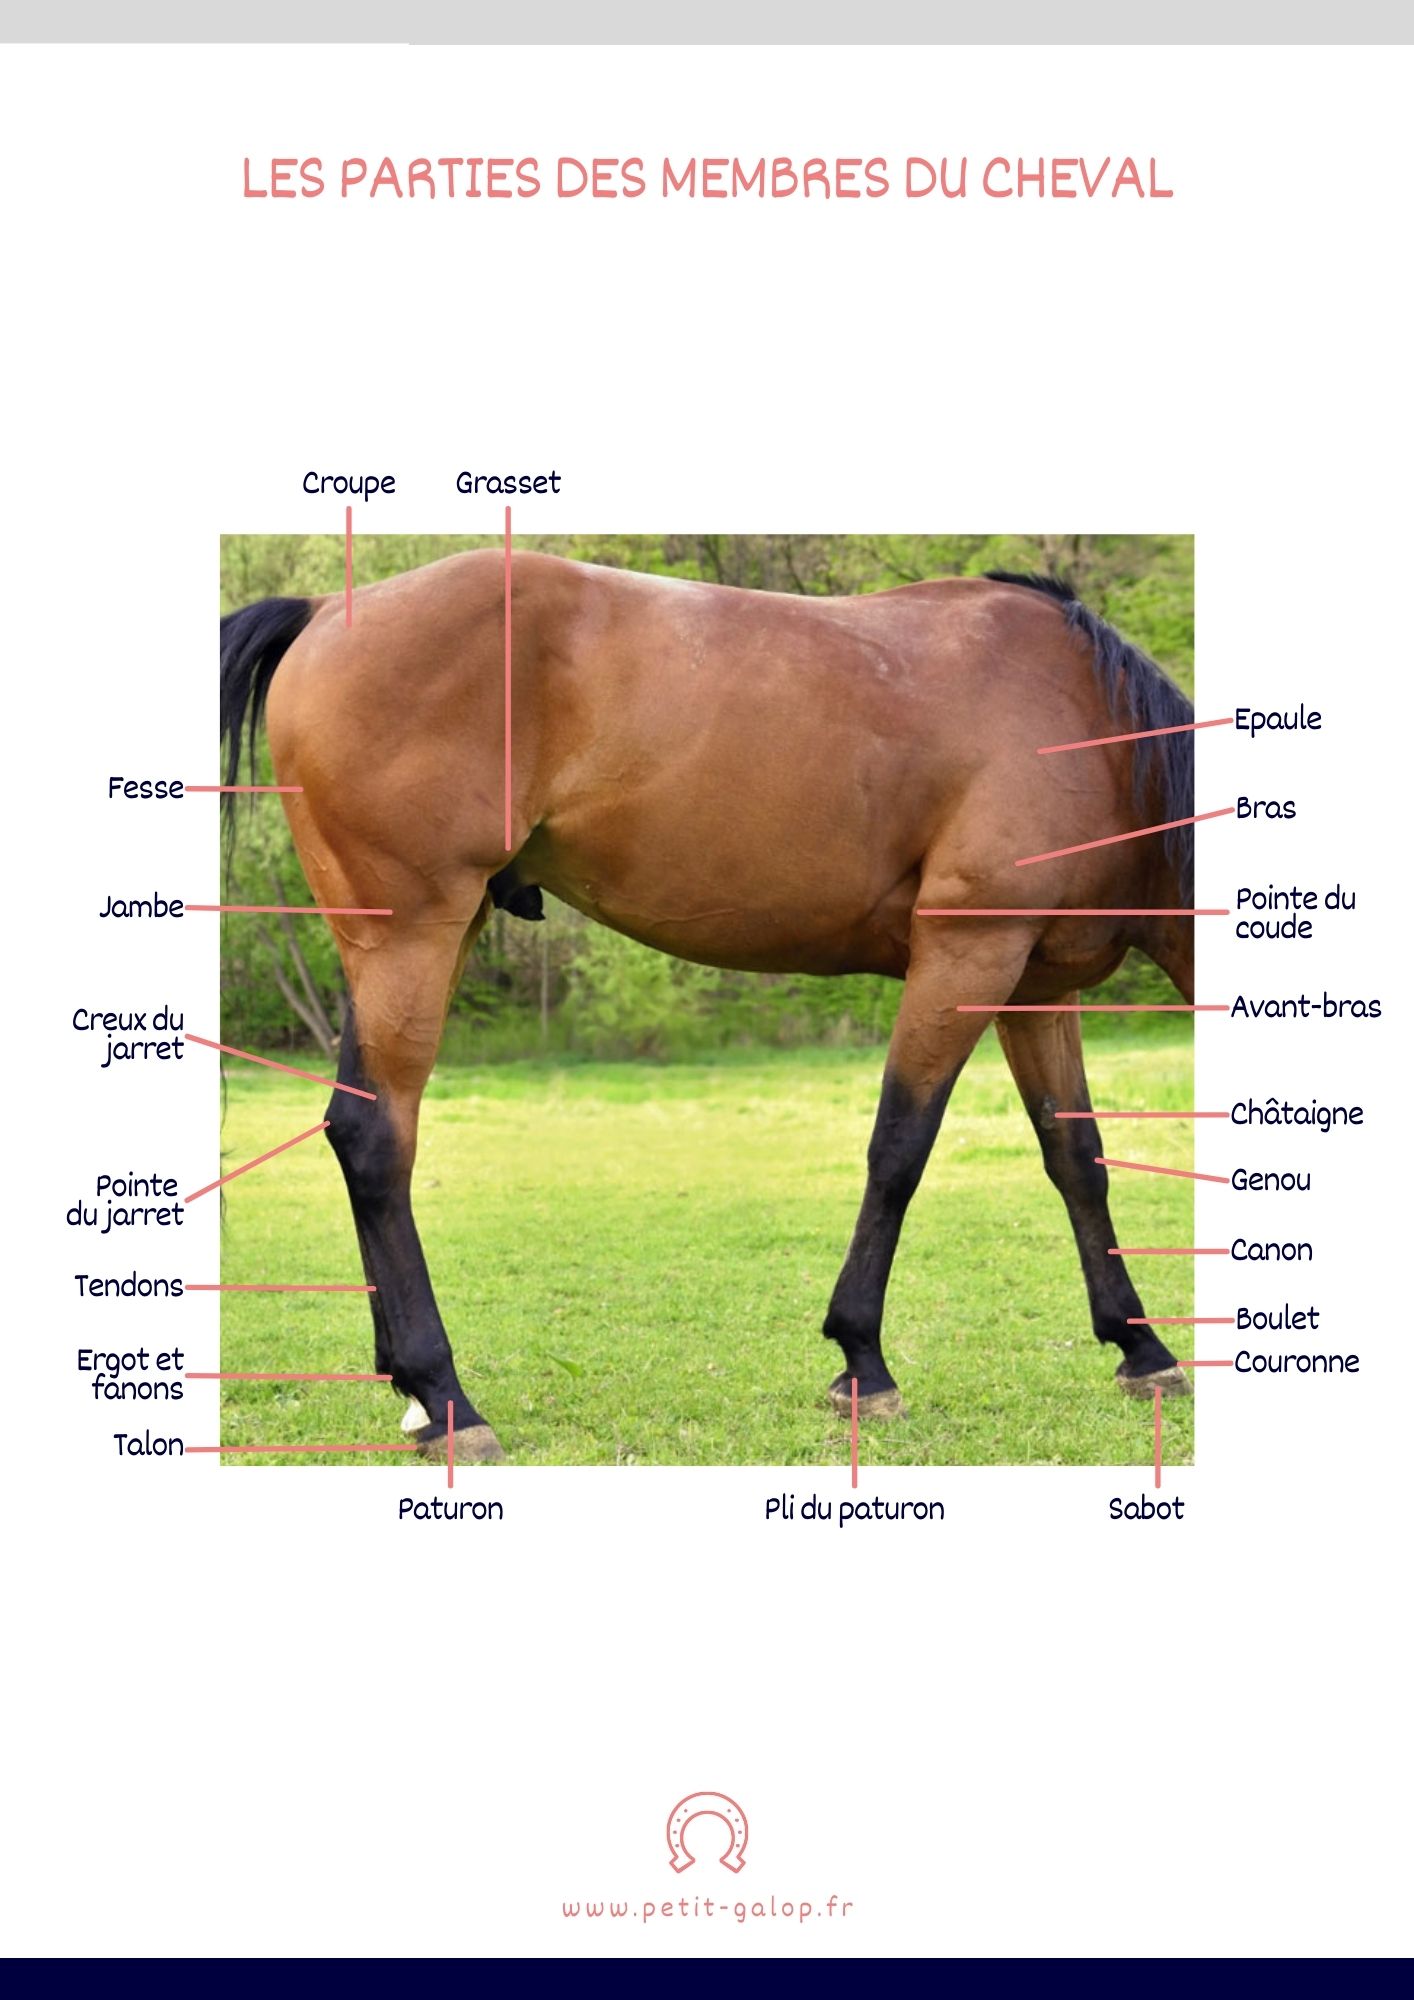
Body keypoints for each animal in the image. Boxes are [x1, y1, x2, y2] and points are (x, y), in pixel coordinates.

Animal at [219, 554, 1195, 1463]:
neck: (1094, 728)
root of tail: (323, 612)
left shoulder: (1036, 982)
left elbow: (1077, 1157)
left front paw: (1142, 1348)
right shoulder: (968, 951)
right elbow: (899, 1152)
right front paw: (862, 1361)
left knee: (356, 1128)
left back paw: (414, 1396)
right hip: (413, 937)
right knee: (378, 1140)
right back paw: (446, 1394)